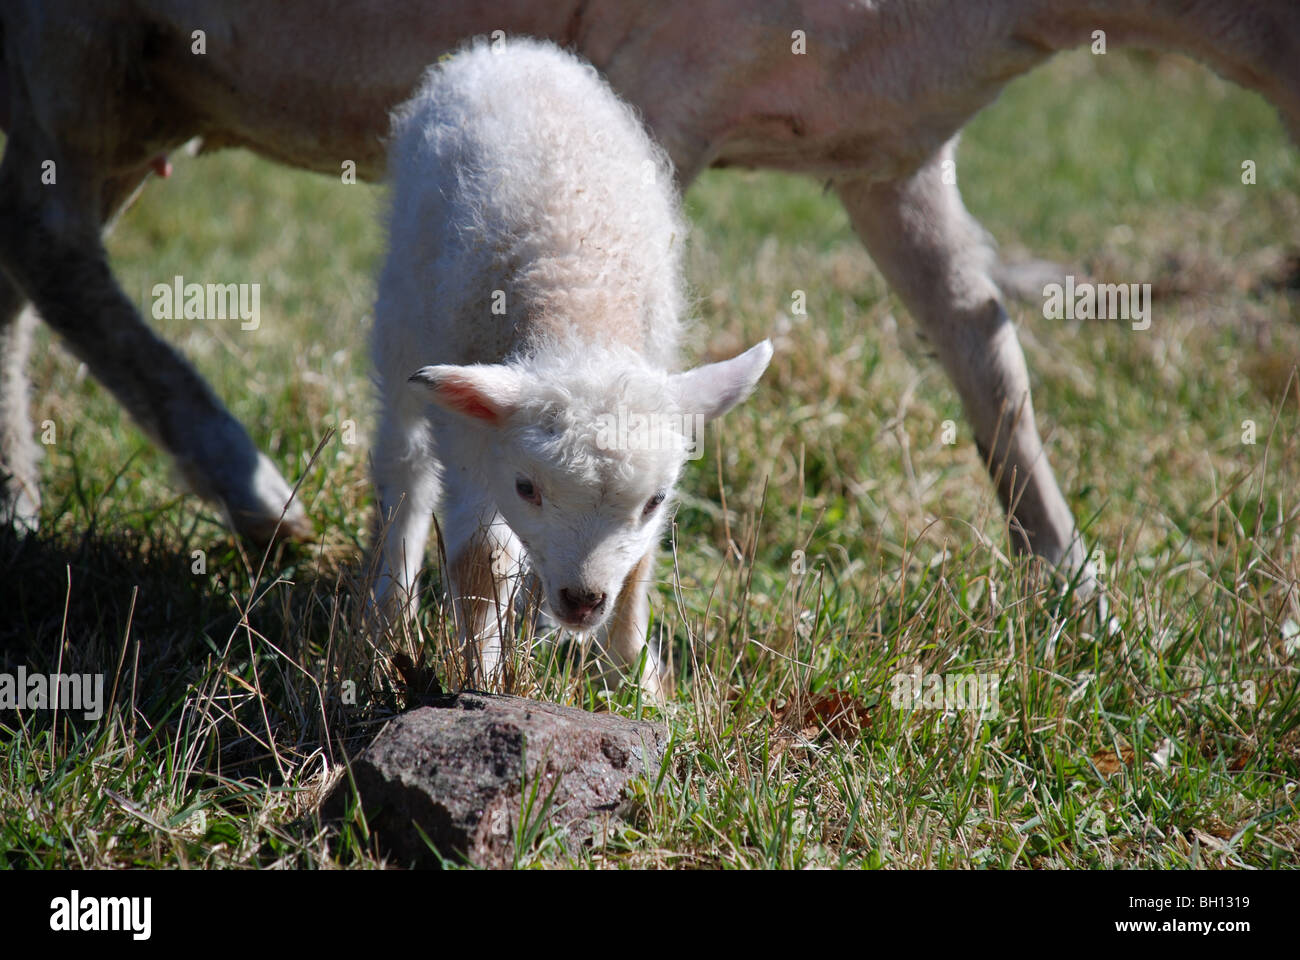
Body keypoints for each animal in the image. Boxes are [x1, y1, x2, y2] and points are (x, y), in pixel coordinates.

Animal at [370, 39, 772, 698]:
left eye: (655, 500)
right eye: (526, 488)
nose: (583, 602)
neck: (577, 295)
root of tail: (512, 50)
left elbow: (638, 566)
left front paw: (636, 681)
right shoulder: (471, 432)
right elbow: (481, 561)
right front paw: (485, 676)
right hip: (401, 321)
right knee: (403, 469)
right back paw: (384, 614)